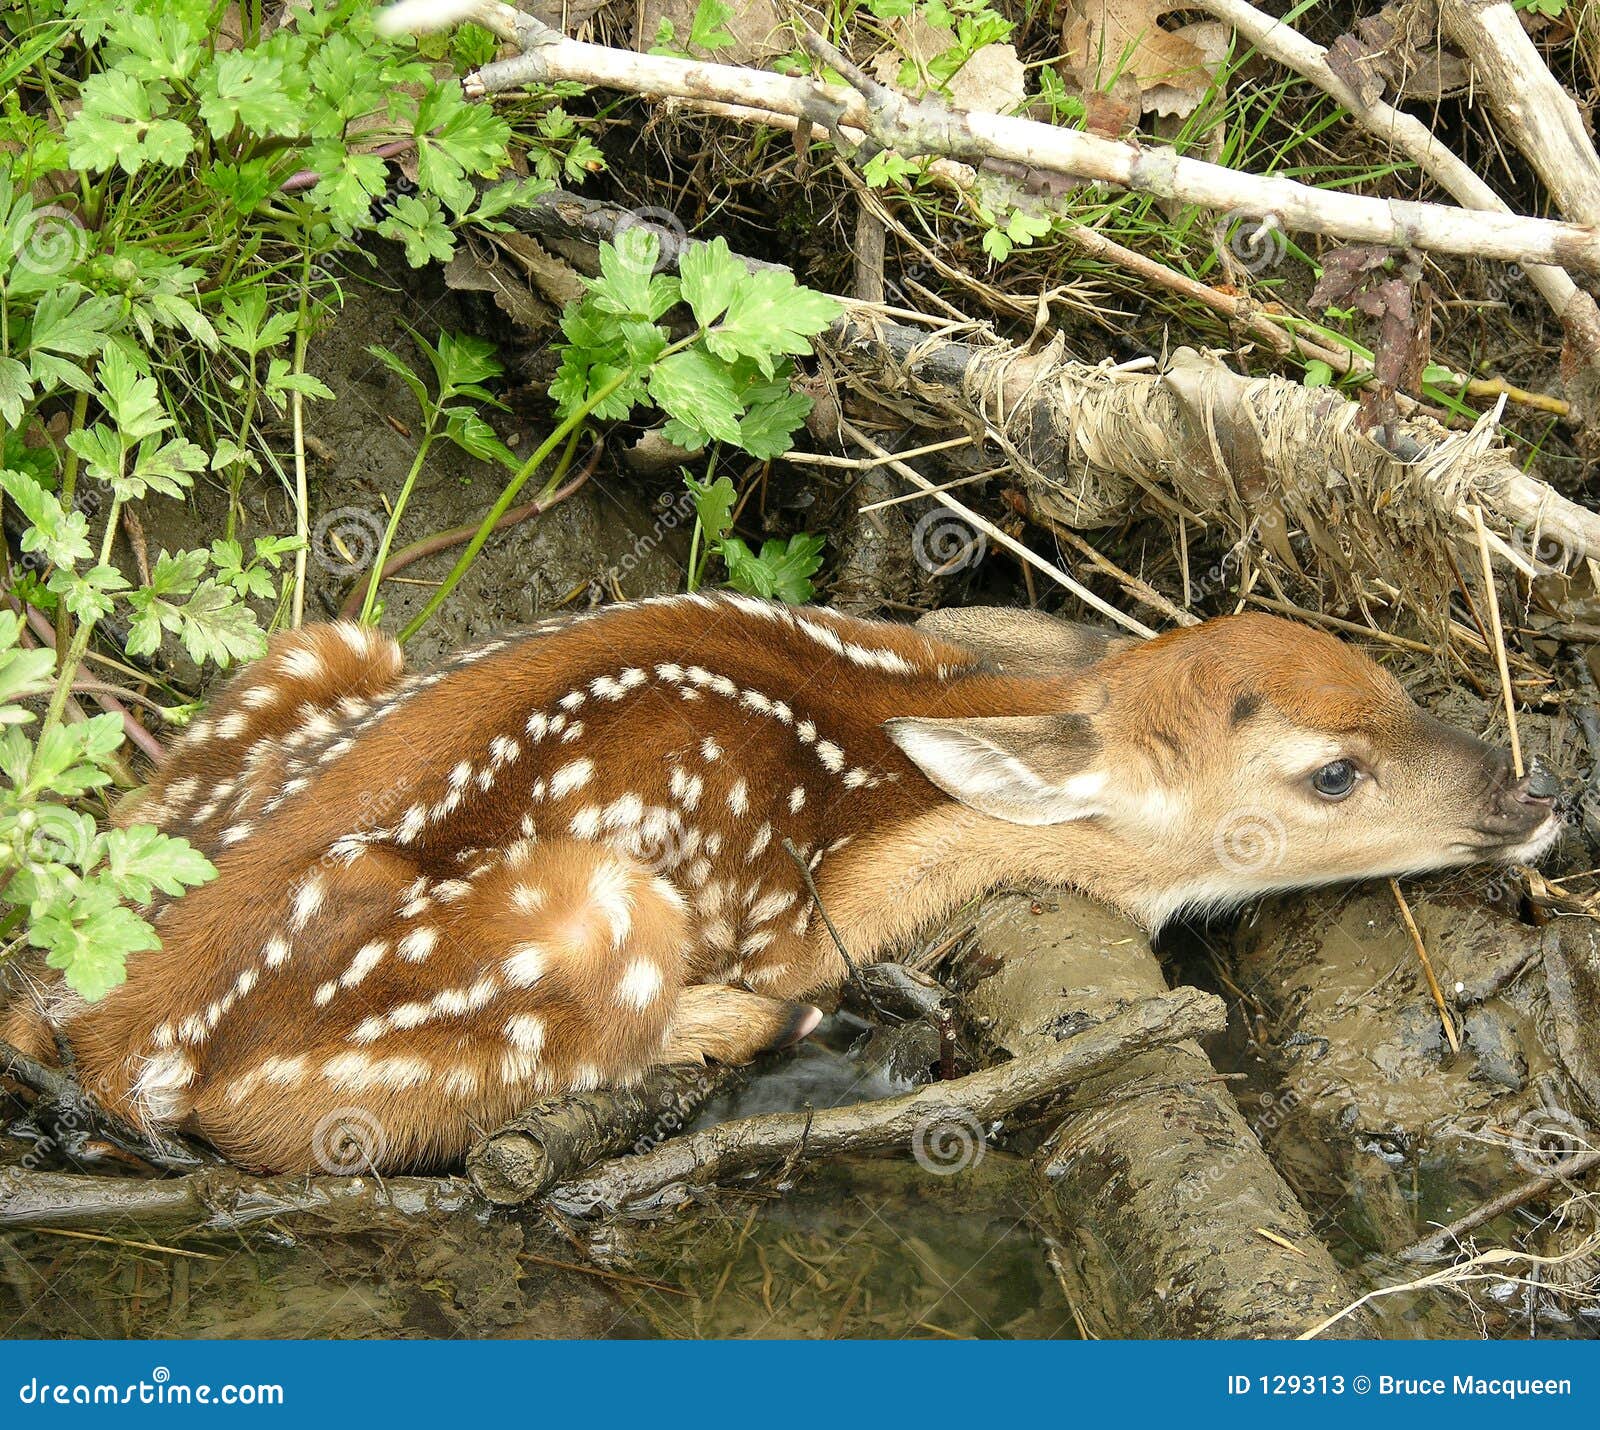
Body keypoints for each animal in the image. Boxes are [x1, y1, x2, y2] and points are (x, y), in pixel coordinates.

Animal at [3, 595, 1560, 1173]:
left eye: (1389, 678)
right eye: (1332, 775)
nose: (1535, 793)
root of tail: (120, 1022)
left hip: (329, 645)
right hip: (591, 911)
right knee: (275, 1121)